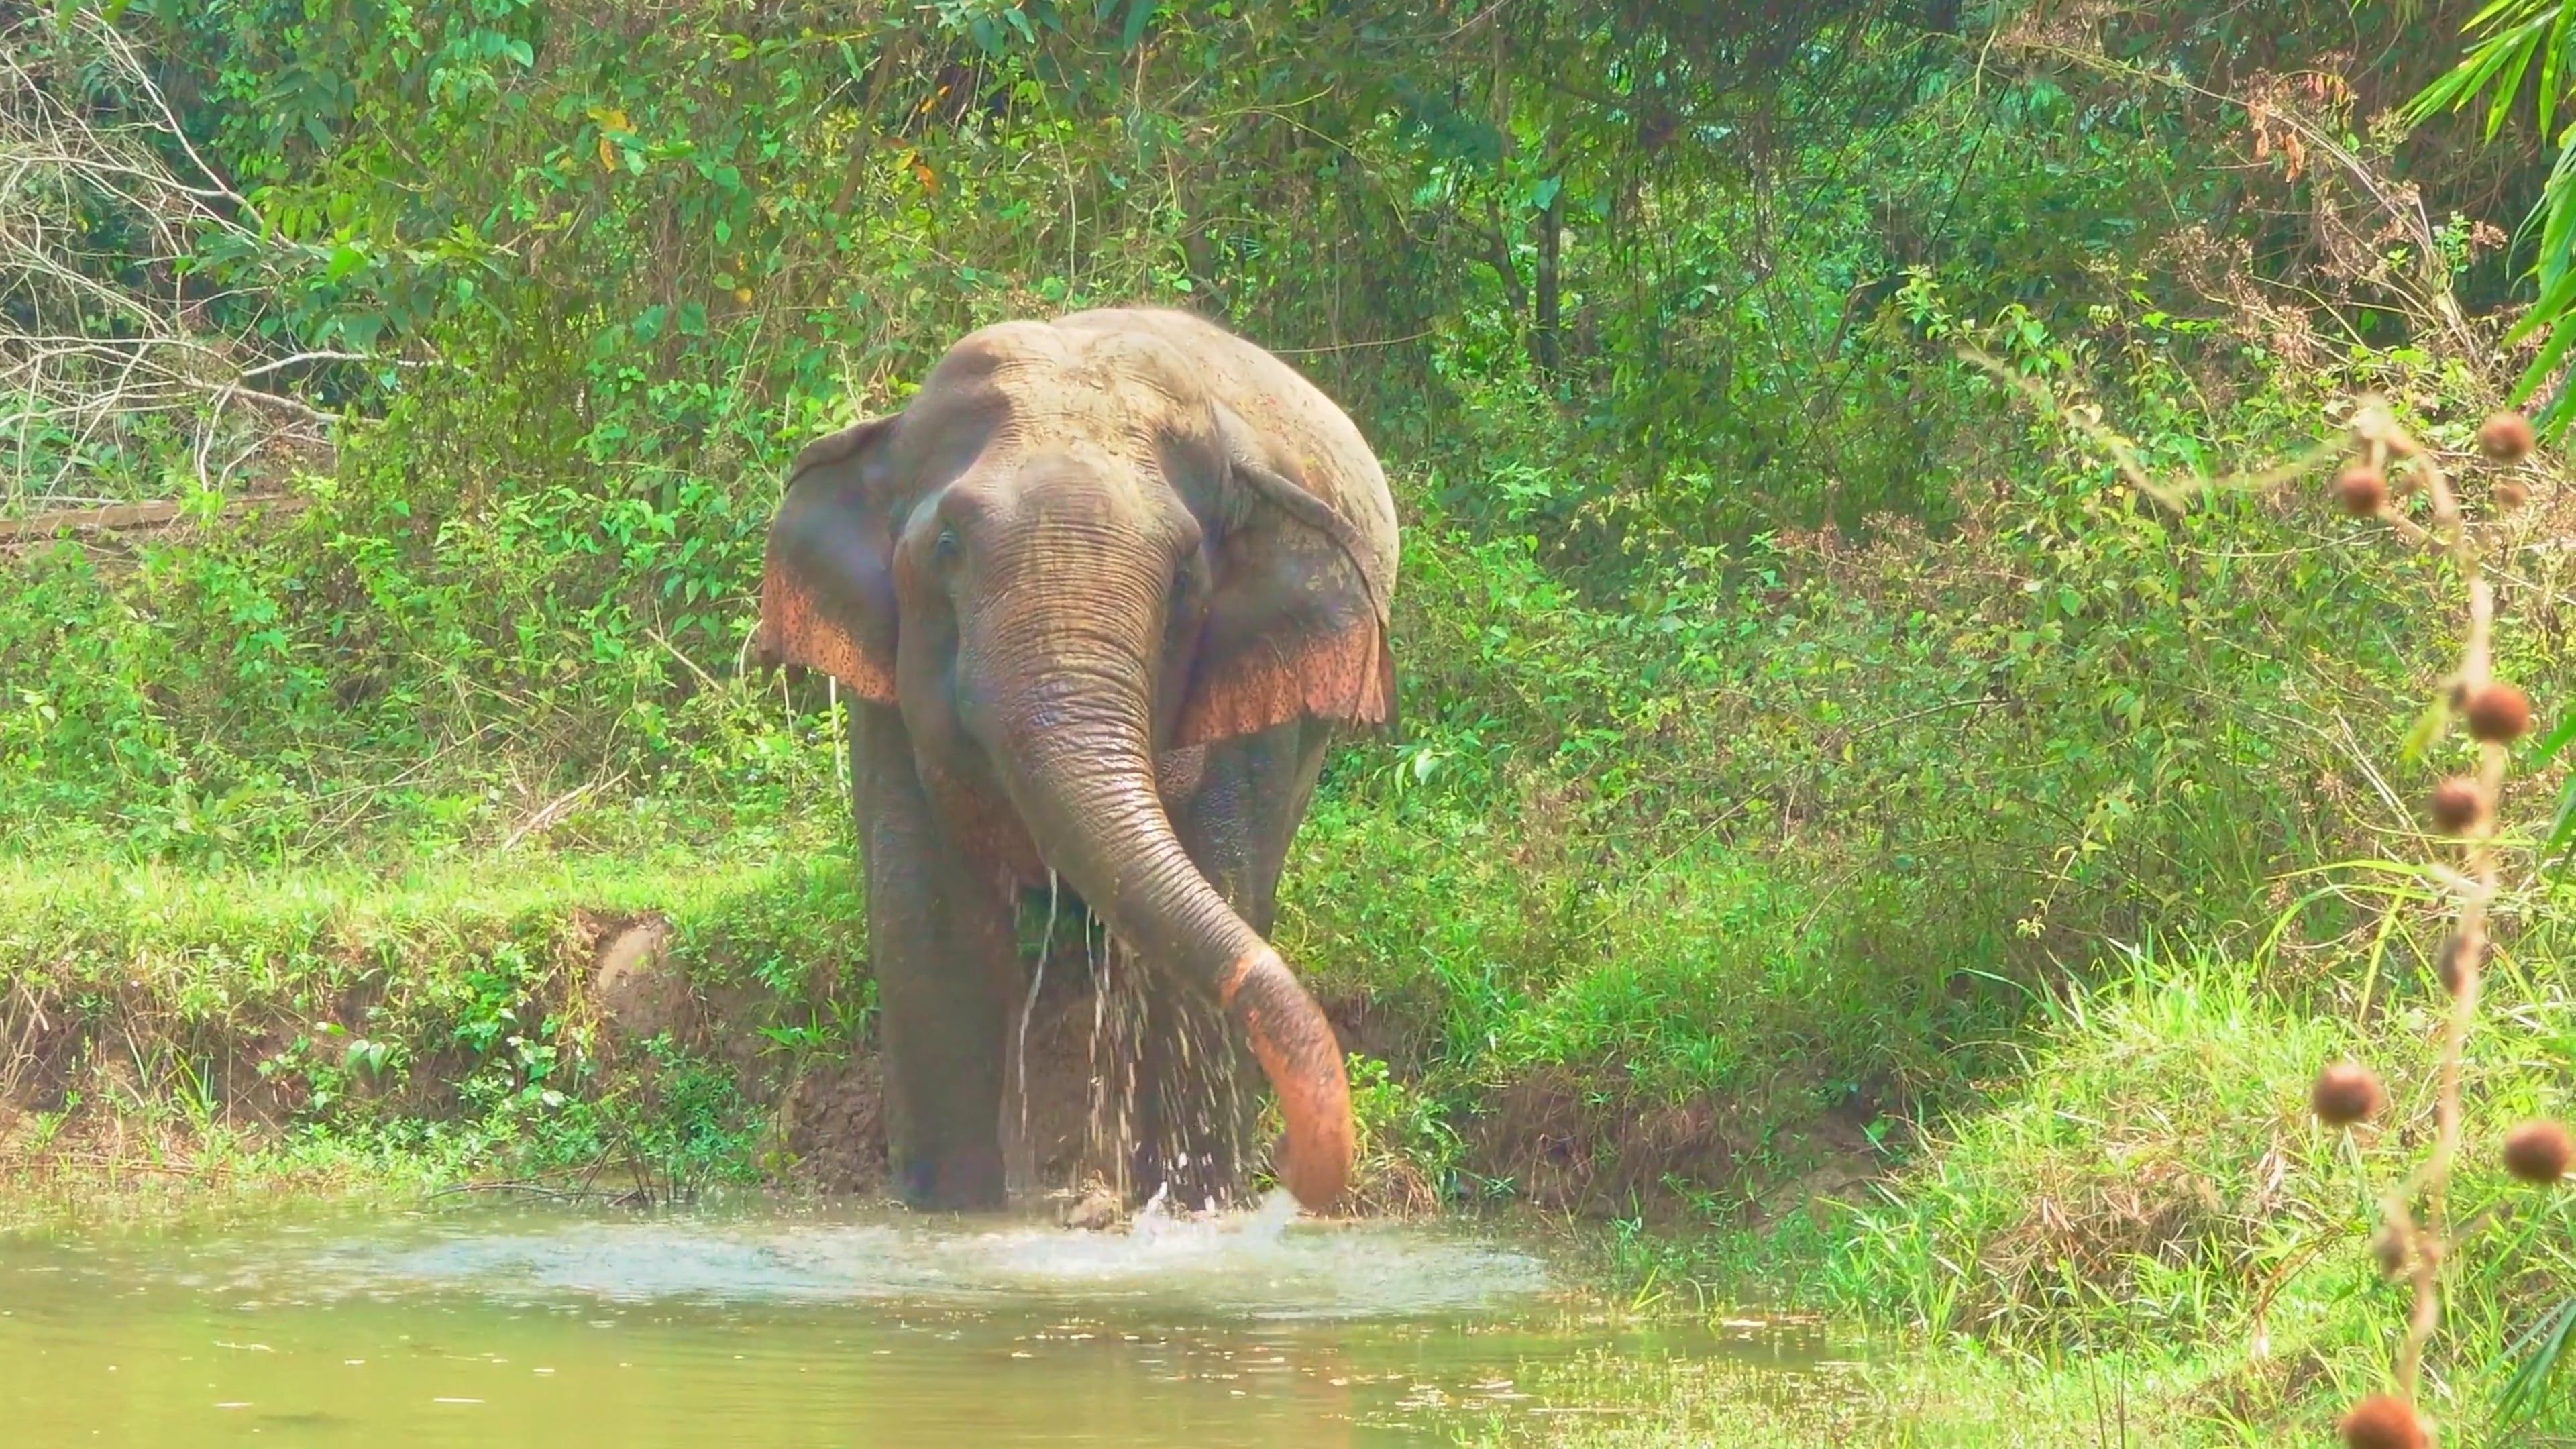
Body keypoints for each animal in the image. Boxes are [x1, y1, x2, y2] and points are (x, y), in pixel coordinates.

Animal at [752, 307, 1398, 1214]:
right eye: (945, 545)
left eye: (1186, 575)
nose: (1296, 1174)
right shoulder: (883, 687)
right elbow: (930, 923)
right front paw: (955, 1213)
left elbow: (1214, 897)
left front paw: (1194, 1208)